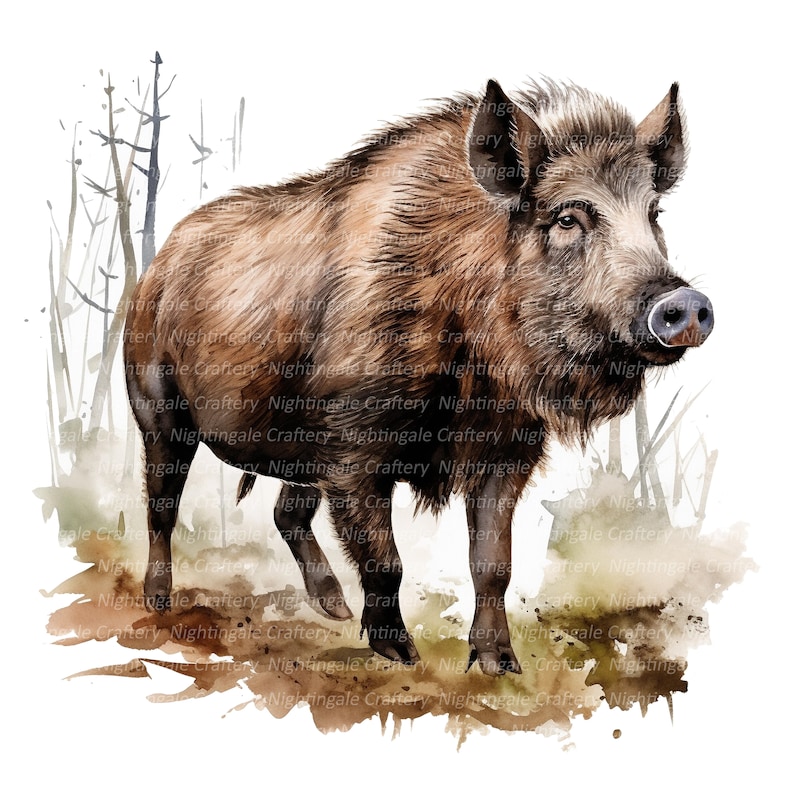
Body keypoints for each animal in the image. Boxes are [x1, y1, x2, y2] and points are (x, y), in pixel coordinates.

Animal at [123, 79, 713, 675]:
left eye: (655, 212)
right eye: (568, 217)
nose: (685, 303)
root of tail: (159, 264)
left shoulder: (509, 451)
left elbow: (492, 563)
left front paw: (500, 665)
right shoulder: (356, 450)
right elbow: (386, 561)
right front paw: (402, 656)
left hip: (296, 448)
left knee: (285, 511)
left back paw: (333, 608)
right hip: (157, 409)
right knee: (161, 504)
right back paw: (159, 602)